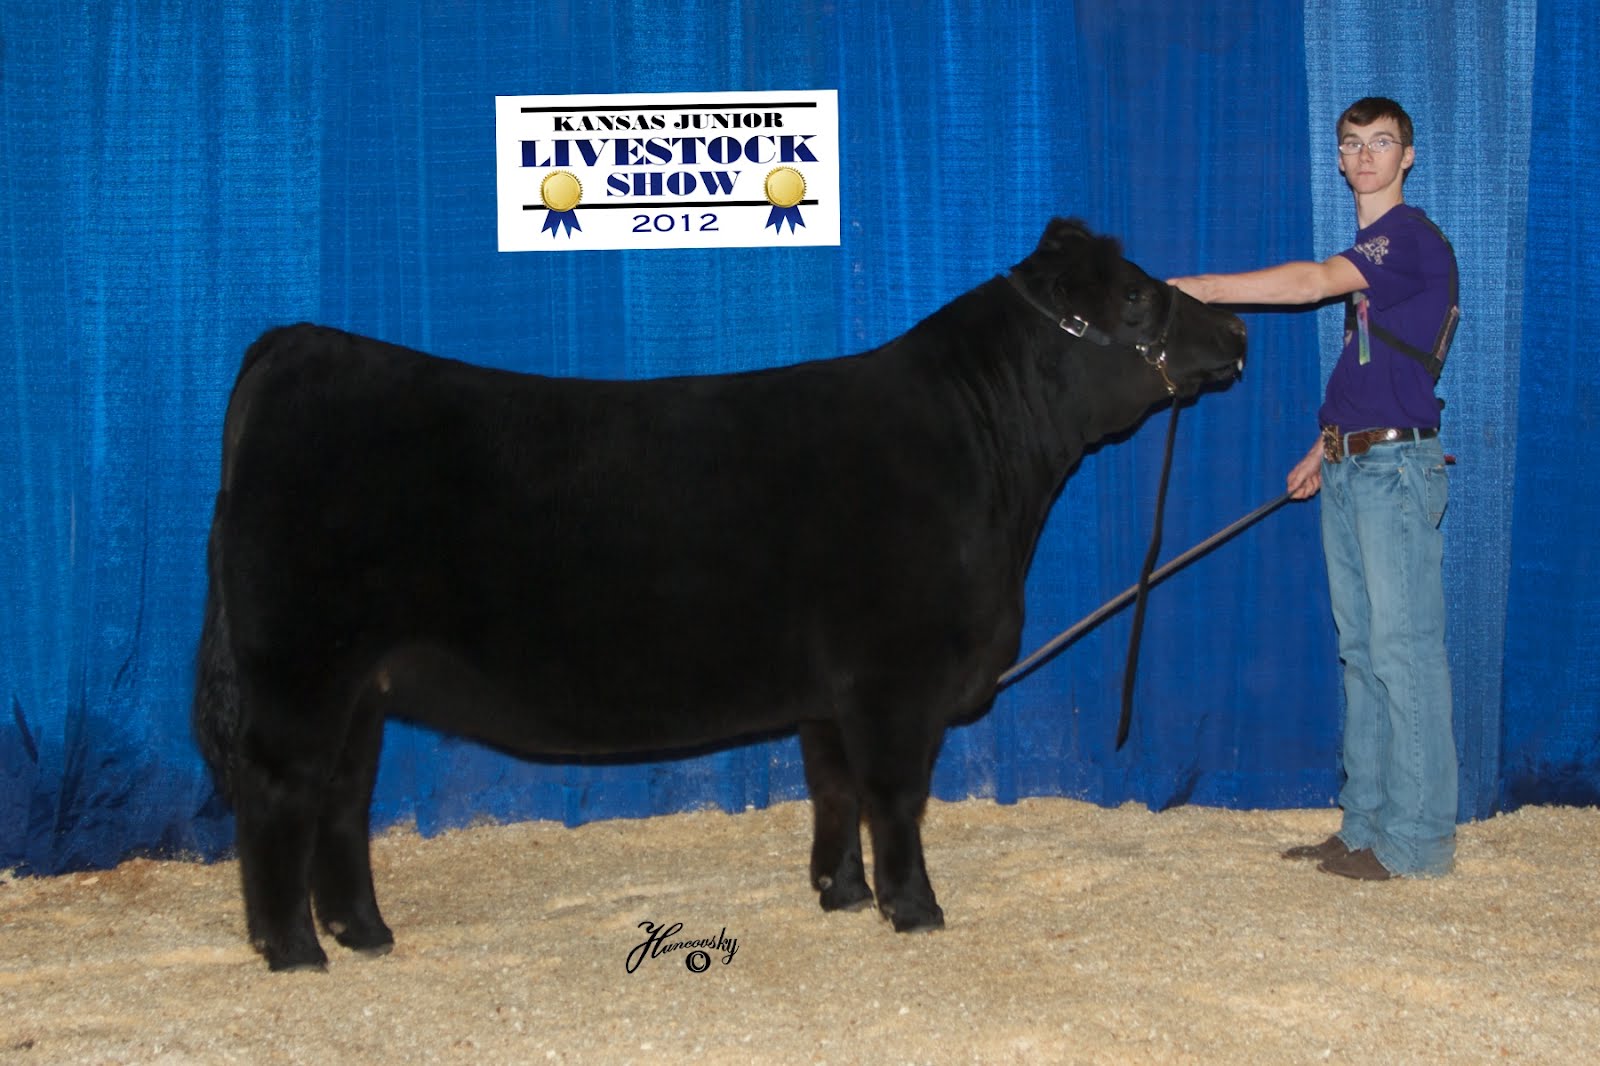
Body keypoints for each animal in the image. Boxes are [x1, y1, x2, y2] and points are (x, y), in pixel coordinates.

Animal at [193, 217, 1246, 971]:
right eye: (1138, 297)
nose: (1236, 327)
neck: (985, 459)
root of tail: (299, 346)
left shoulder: (831, 690)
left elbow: (834, 788)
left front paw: (841, 894)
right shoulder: (893, 677)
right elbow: (894, 794)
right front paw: (915, 910)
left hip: (361, 686)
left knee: (341, 797)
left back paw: (365, 934)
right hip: (302, 669)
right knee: (281, 792)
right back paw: (293, 951)